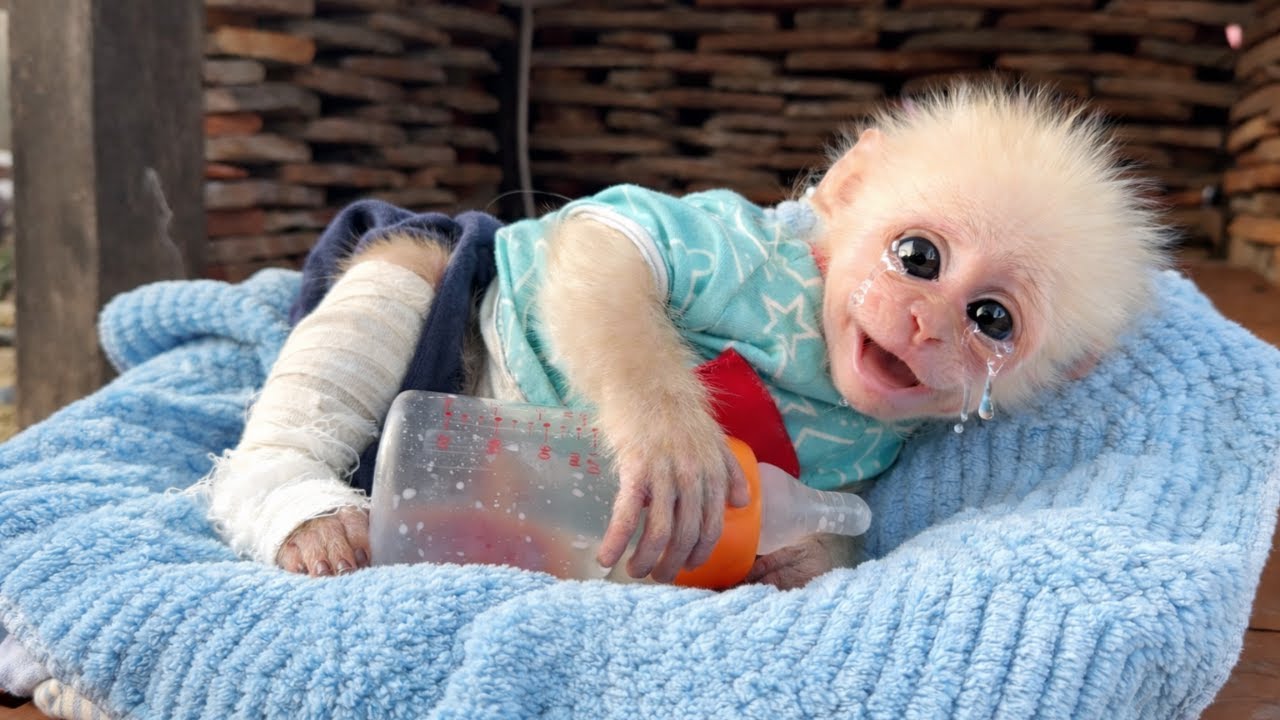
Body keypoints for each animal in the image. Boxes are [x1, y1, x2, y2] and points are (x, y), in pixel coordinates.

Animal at [205, 81, 1170, 590]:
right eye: (917, 257)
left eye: (991, 319)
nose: (926, 324)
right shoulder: (739, 242)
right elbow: (607, 248)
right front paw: (672, 444)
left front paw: (804, 551)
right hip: (432, 292)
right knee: (403, 267)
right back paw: (300, 507)